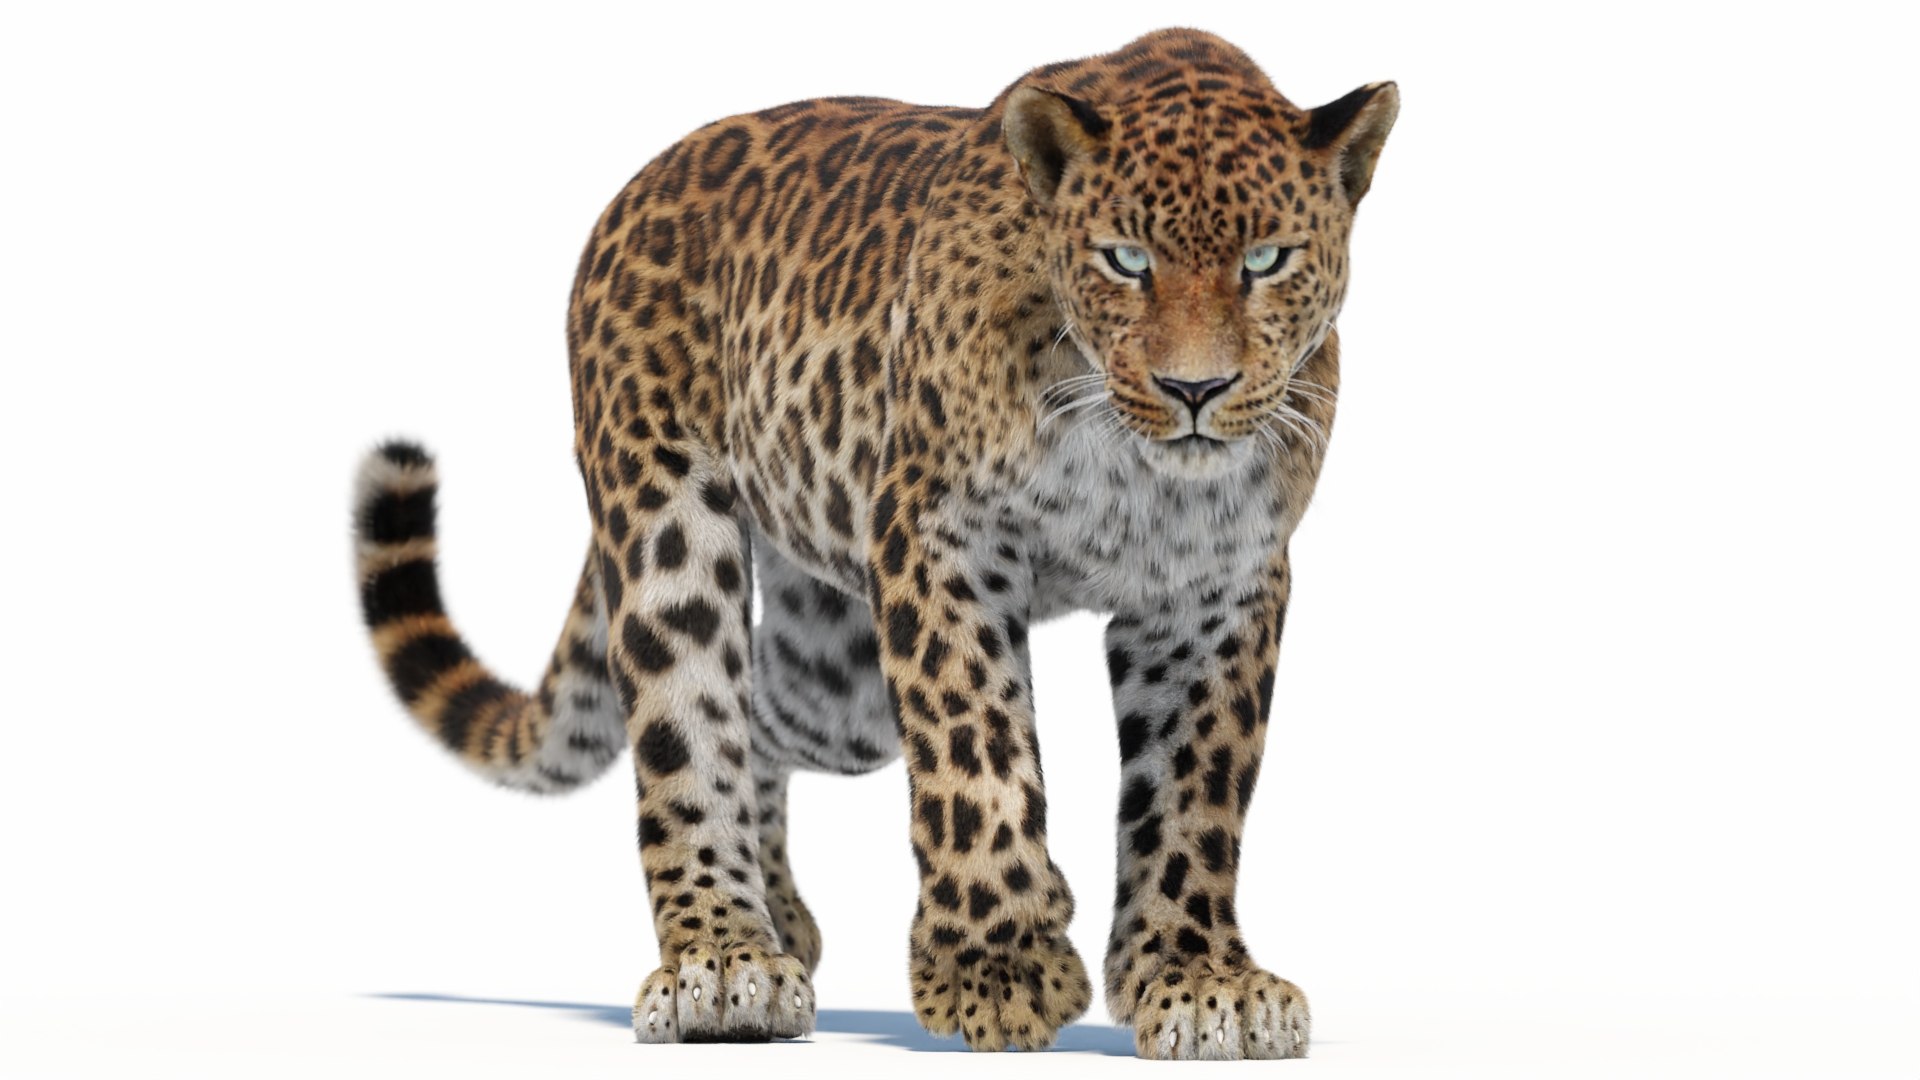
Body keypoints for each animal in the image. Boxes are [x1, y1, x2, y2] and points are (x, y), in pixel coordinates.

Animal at [351, 27, 1396, 1060]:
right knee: (692, 732)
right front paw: (998, 969)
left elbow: (1194, 792)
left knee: (760, 716)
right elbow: (975, 751)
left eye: (1267, 259)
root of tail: (638, 187)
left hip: (839, 669)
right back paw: (723, 965)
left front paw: (1198, 978)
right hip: (667, 525)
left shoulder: (1215, 590)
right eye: (1125, 259)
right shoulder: (941, 539)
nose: (1195, 390)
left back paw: (777, 919)